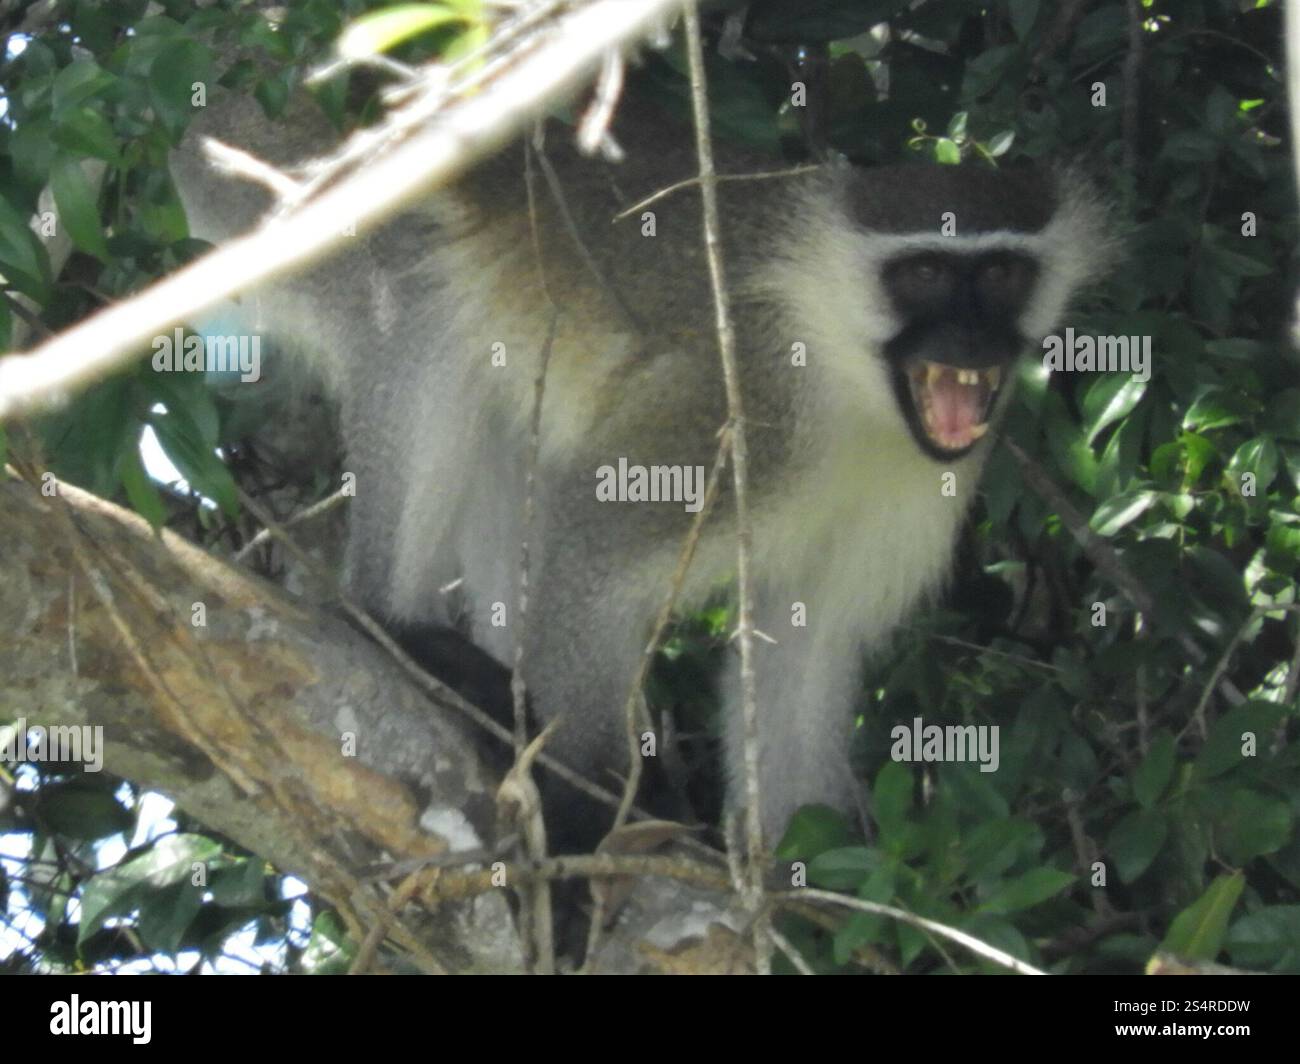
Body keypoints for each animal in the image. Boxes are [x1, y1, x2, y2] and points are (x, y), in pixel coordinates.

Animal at [170, 79, 1115, 849]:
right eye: (922, 275)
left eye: (1002, 274)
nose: (972, 341)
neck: (849, 383)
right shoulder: (736, 413)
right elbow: (593, 549)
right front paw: (584, 806)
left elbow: (806, 640)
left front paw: (797, 891)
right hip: (294, 202)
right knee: (422, 303)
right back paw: (393, 628)